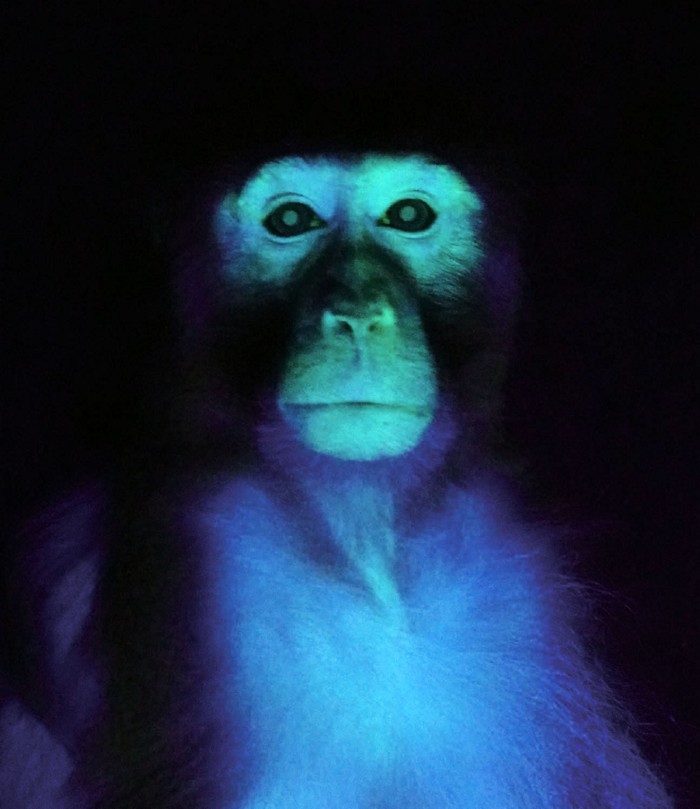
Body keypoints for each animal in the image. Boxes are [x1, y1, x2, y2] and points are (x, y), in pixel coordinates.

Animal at [0, 153, 672, 807]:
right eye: (291, 221)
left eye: (408, 215)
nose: (357, 315)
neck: (365, 540)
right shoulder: (197, 557)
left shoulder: (509, 583)